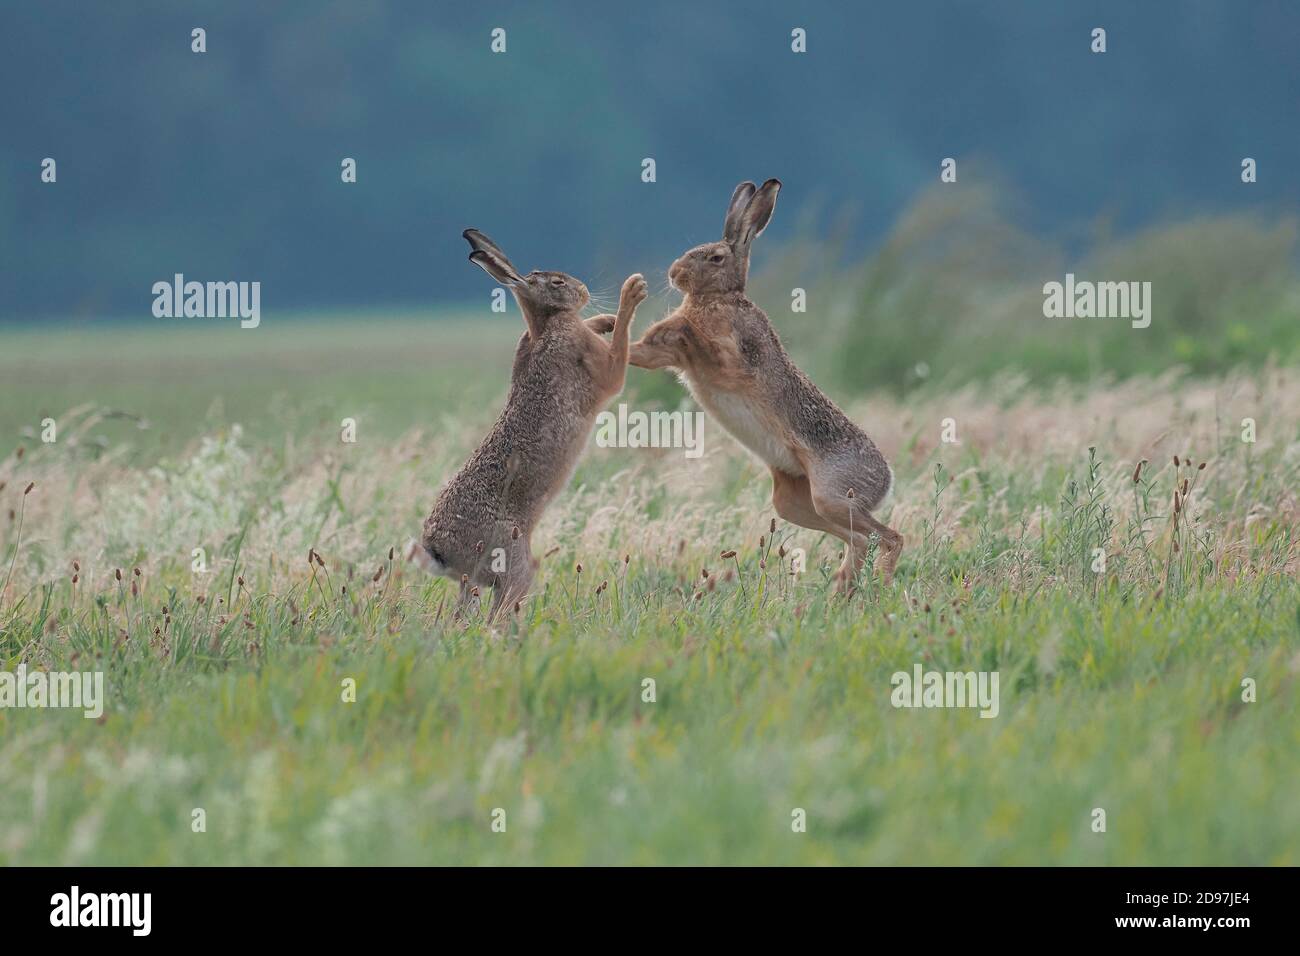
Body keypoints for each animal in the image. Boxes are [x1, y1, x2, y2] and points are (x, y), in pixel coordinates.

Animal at [419, 228, 647, 620]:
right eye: (557, 282)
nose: (584, 290)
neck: (546, 328)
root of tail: (437, 550)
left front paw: (605, 320)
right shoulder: (598, 367)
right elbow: (617, 358)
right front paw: (630, 295)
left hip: (476, 579)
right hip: (513, 562)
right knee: (496, 615)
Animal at [627, 179, 902, 592]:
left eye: (716, 258)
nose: (674, 273)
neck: (721, 297)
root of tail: (886, 480)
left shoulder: (737, 360)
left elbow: (710, 348)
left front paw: (683, 323)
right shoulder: (665, 357)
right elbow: (640, 353)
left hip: (833, 496)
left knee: (886, 537)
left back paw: (874, 586)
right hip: (796, 503)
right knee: (859, 539)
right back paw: (841, 591)